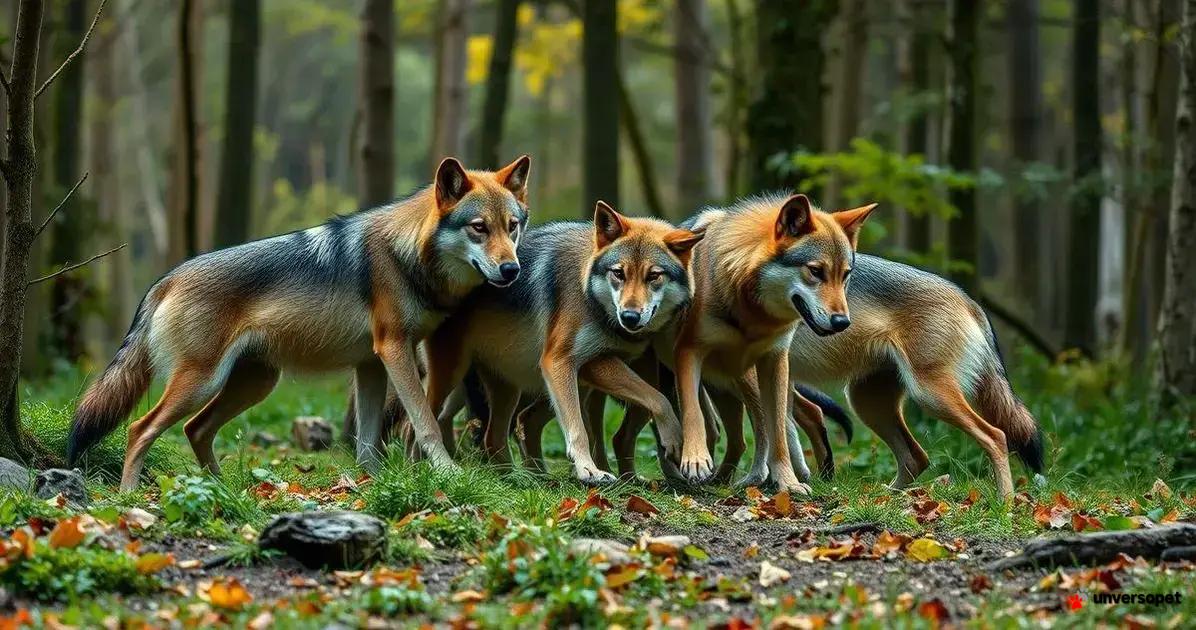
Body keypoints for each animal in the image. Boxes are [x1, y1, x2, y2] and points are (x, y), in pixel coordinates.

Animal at [67, 156, 532, 491]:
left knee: (195, 429)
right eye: (478, 228)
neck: (407, 254)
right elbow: (425, 423)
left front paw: (373, 485)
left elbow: (367, 442)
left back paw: (223, 490)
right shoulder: (393, 350)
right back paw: (129, 496)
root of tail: (166, 279)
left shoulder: (371, 364)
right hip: (202, 383)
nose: (512, 269)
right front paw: (447, 474)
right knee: (139, 429)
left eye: (512, 227)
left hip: (254, 384)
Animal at [420, 202, 704, 484]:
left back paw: (523, 478)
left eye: (654, 276)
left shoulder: (596, 365)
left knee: (501, 432)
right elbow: (580, 428)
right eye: (618, 273)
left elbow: (654, 399)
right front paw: (589, 471)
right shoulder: (559, 362)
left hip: (509, 388)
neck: (587, 291)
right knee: (426, 420)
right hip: (454, 375)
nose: (630, 316)